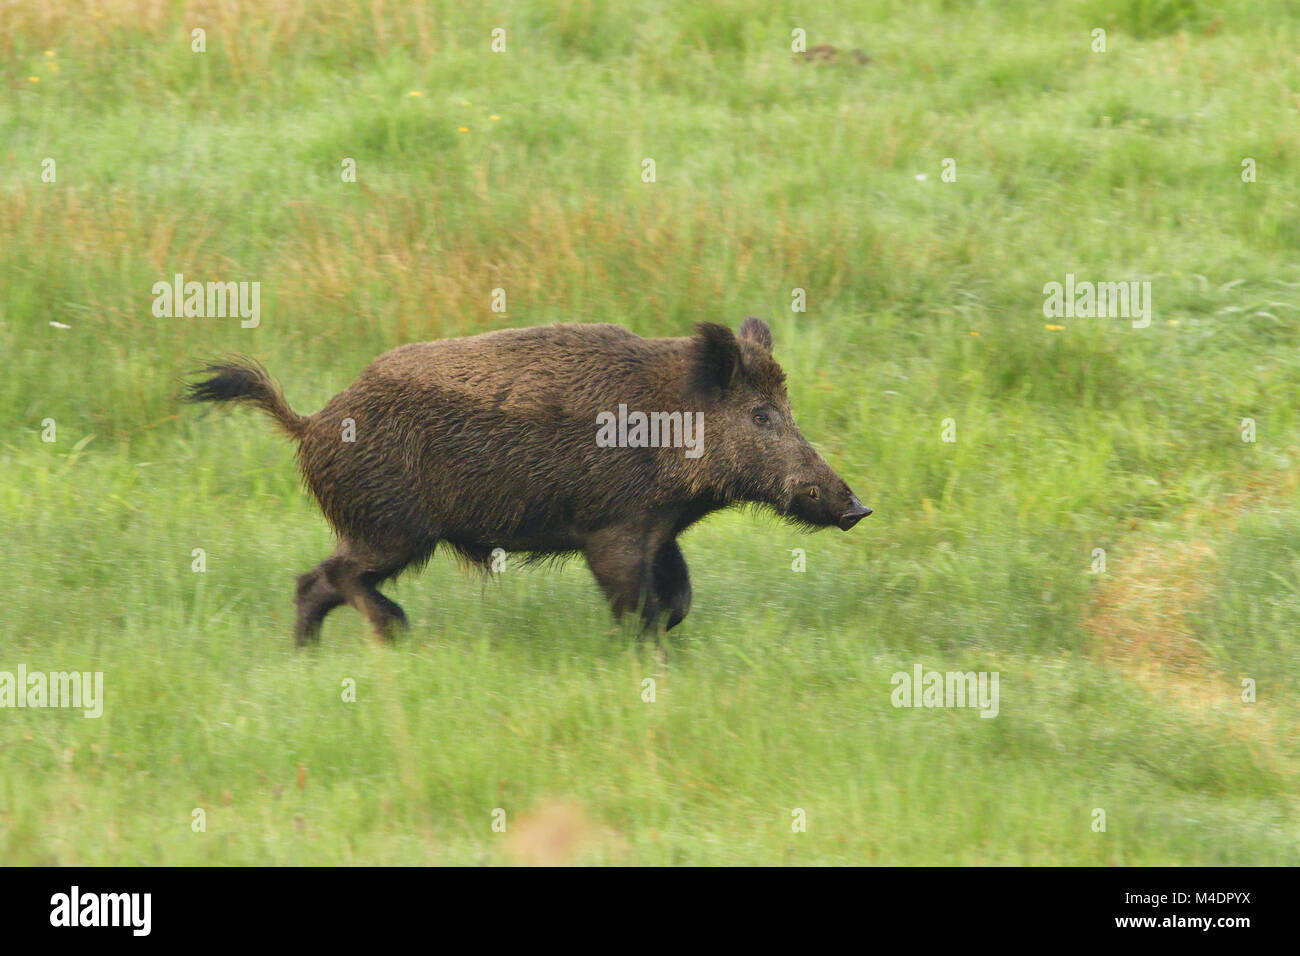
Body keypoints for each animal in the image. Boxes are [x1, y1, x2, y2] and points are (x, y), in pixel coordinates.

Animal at [186, 317, 870, 644]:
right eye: (761, 415)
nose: (857, 508)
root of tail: (309, 424)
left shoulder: (660, 532)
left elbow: (677, 600)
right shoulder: (612, 531)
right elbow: (638, 606)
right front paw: (646, 660)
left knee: (314, 583)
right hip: (392, 530)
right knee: (333, 578)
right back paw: (395, 630)